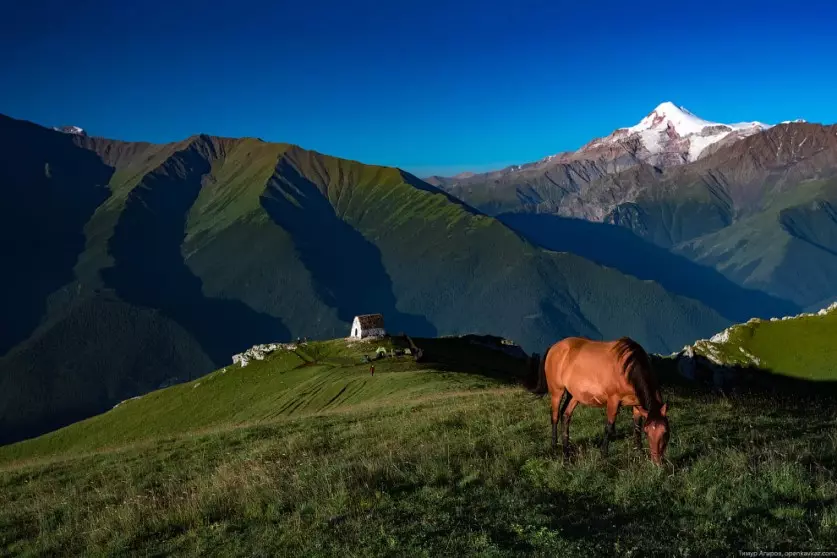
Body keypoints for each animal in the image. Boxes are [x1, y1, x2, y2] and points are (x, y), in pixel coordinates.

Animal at [532, 340, 668, 466]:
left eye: (665, 432)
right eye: (648, 432)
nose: (657, 462)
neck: (628, 368)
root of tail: (554, 347)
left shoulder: (637, 404)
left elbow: (637, 426)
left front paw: (639, 451)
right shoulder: (613, 400)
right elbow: (609, 427)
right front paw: (603, 454)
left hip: (574, 396)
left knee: (565, 416)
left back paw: (566, 451)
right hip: (557, 392)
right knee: (554, 416)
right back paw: (554, 447)